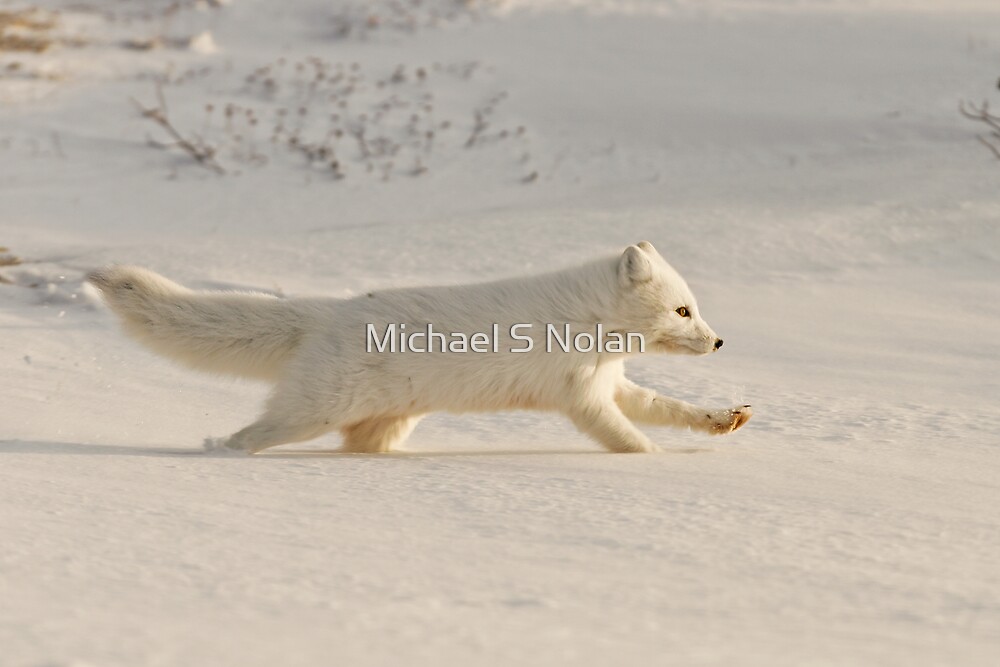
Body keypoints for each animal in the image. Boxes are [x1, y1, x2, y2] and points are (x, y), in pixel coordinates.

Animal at [87, 241, 752, 454]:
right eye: (683, 310)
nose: (721, 340)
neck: (584, 321)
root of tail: (327, 310)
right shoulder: (582, 397)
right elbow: (628, 438)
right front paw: (657, 464)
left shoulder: (610, 381)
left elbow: (668, 409)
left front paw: (722, 420)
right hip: (312, 411)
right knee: (253, 433)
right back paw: (218, 451)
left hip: (385, 423)